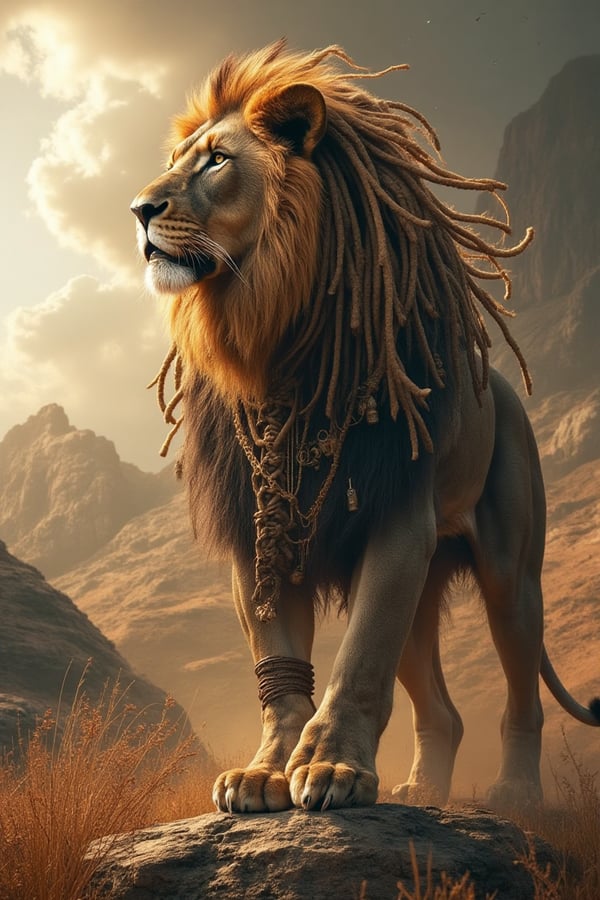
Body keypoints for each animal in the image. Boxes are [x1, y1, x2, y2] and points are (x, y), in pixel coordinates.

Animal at [131, 40, 600, 813]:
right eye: (175, 159)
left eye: (216, 161)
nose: (139, 209)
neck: (272, 336)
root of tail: (503, 389)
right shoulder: (260, 528)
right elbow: (281, 669)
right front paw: (266, 772)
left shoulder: (398, 517)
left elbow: (360, 659)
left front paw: (333, 767)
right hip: (427, 579)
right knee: (443, 711)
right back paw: (422, 792)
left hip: (510, 573)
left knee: (521, 693)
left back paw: (514, 795)